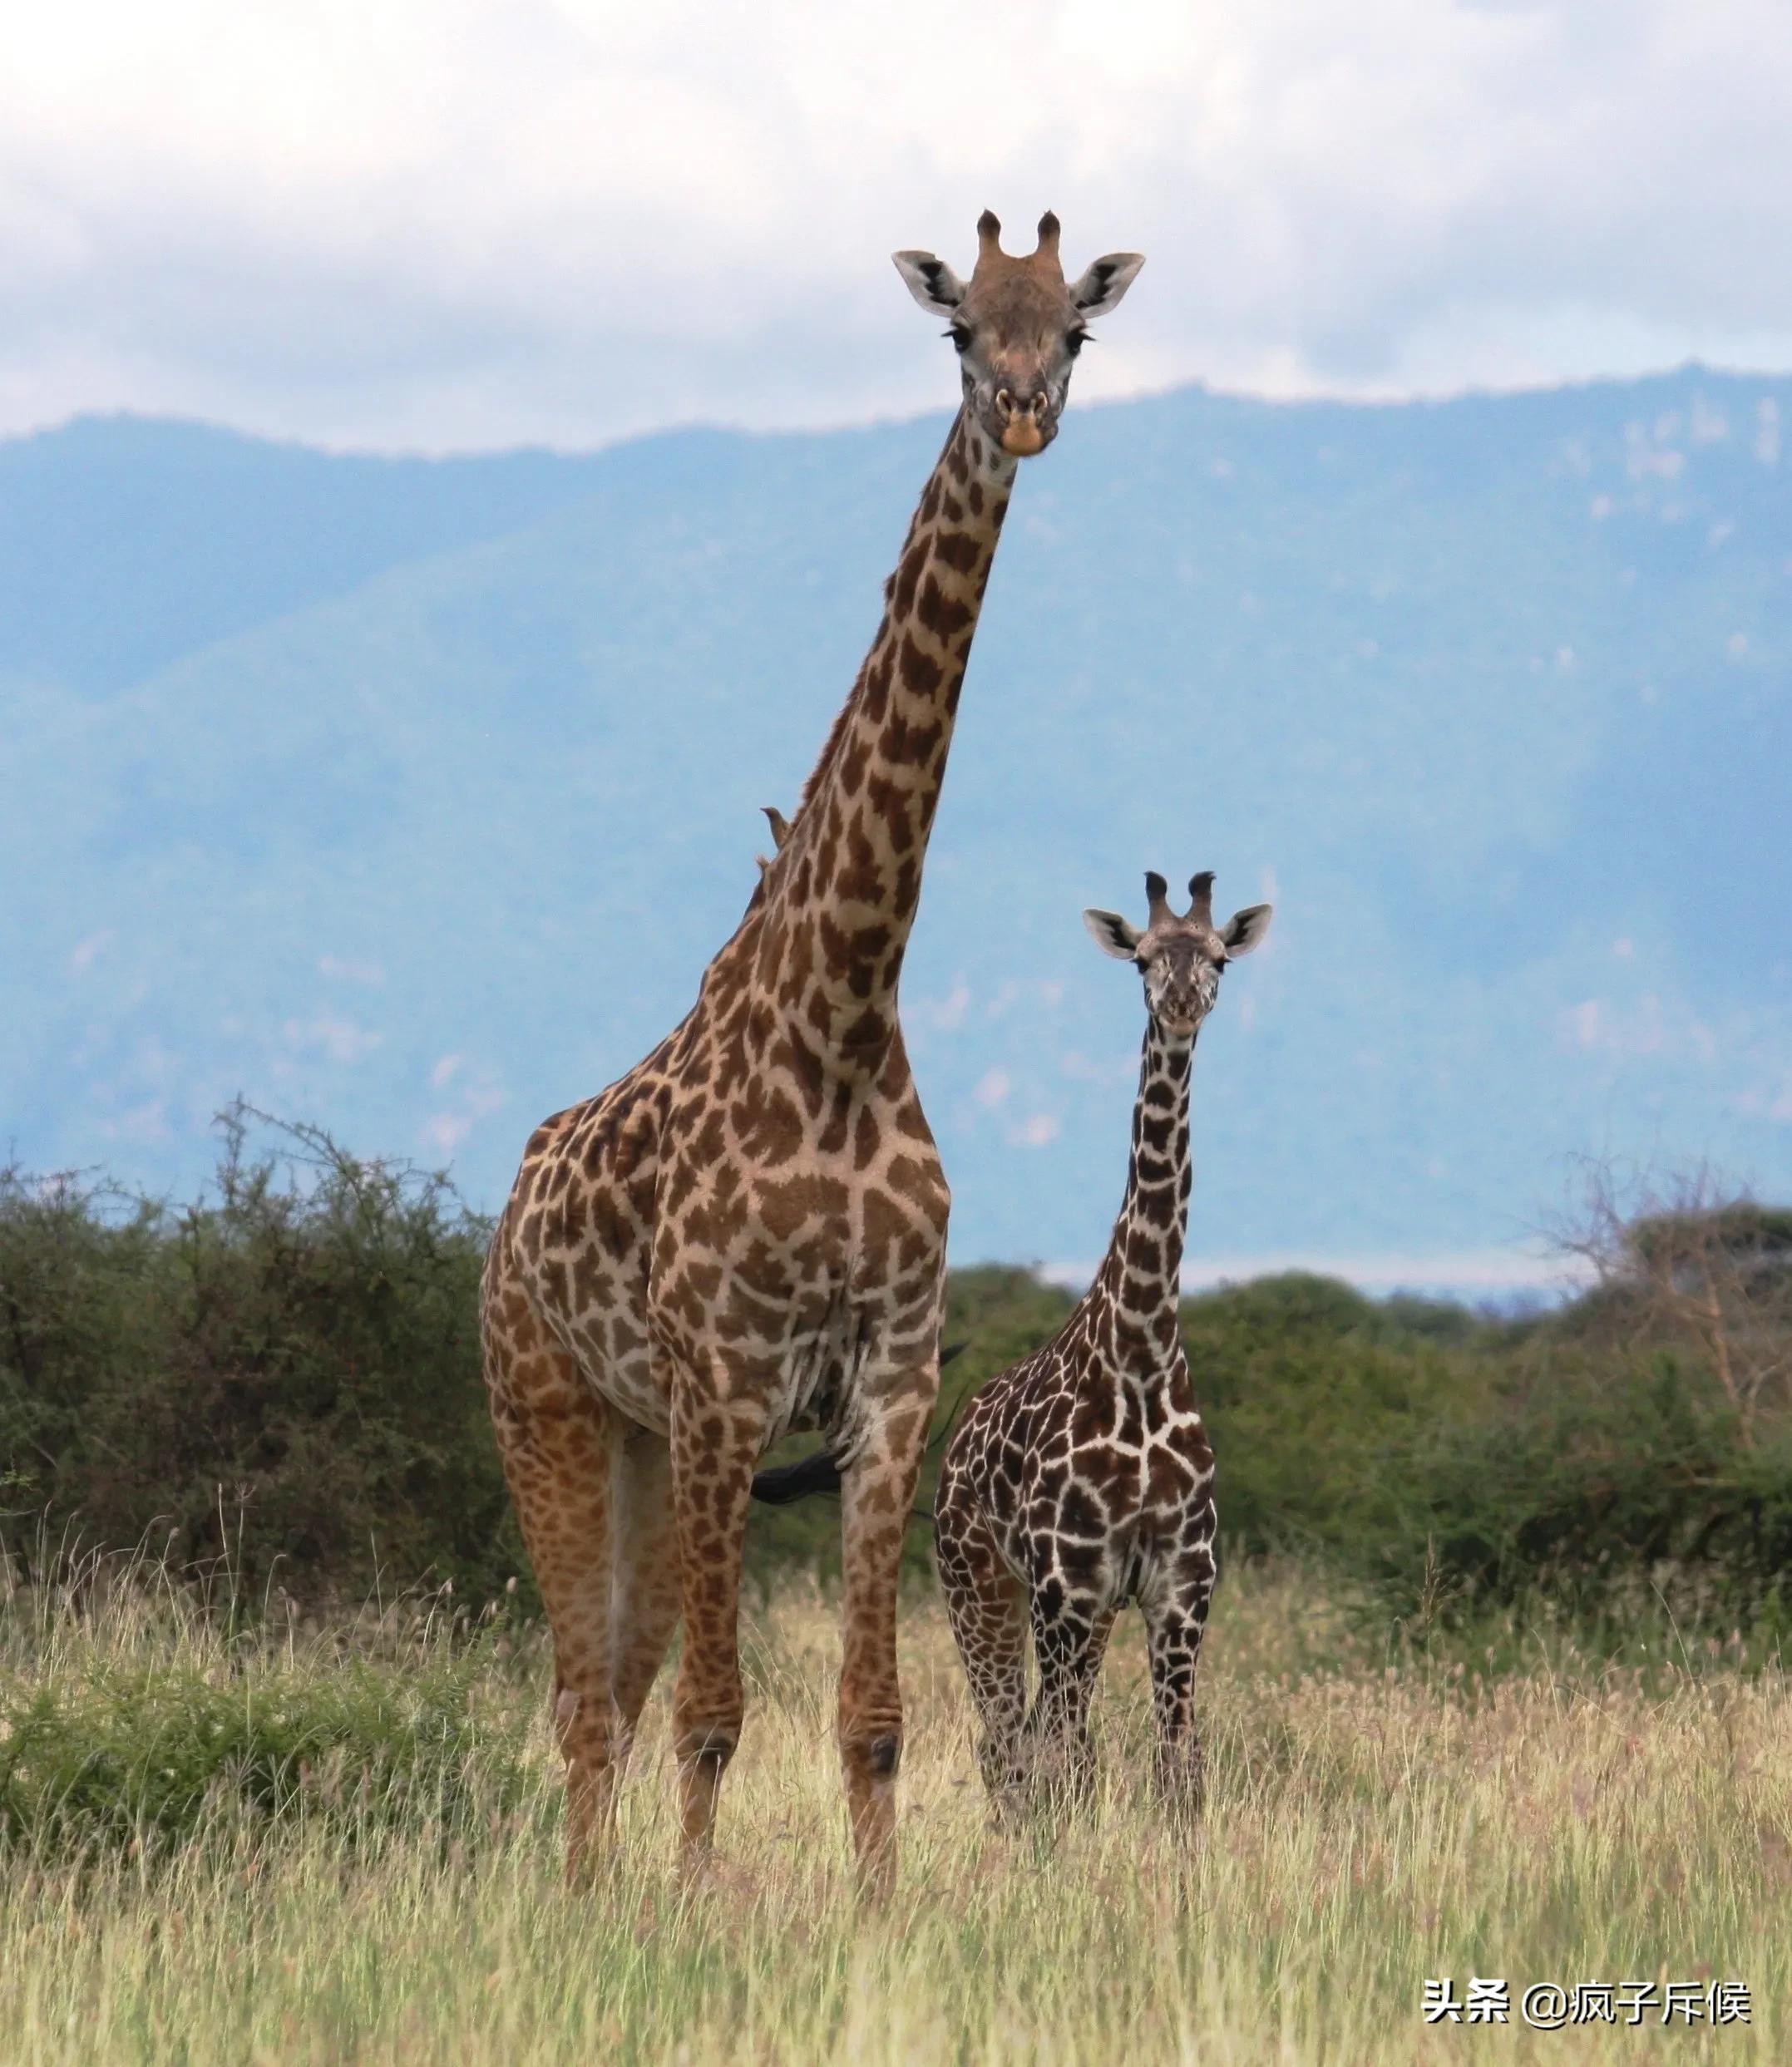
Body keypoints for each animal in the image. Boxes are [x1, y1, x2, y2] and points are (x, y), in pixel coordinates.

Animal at [480, 210, 1144, 1898]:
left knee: (616, 1679)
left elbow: (873, 1716)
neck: (840, 1015)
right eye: (962, 328)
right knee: (587, 1693)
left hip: (646, 1442)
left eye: (1074, 329)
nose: (1025, 412)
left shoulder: (888, 1387)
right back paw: (587, 1905)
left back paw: (596, 1892)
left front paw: (878, 1908)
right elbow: (719, 1710)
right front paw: (698, 1907)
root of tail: (504, 1216)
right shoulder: (726, 1381)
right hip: (553, 1408)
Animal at [933, 870, 1272, 1818]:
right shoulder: (1067, 1587)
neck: (1142, 1359)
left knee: (1034, 1740)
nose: (1183, 999)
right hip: (980, 1586)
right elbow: (1064, 1760)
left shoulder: (1180, 1591)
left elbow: (1177, 1768)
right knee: (1009, 1742)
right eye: (1142, 959)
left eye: (1219, 956)